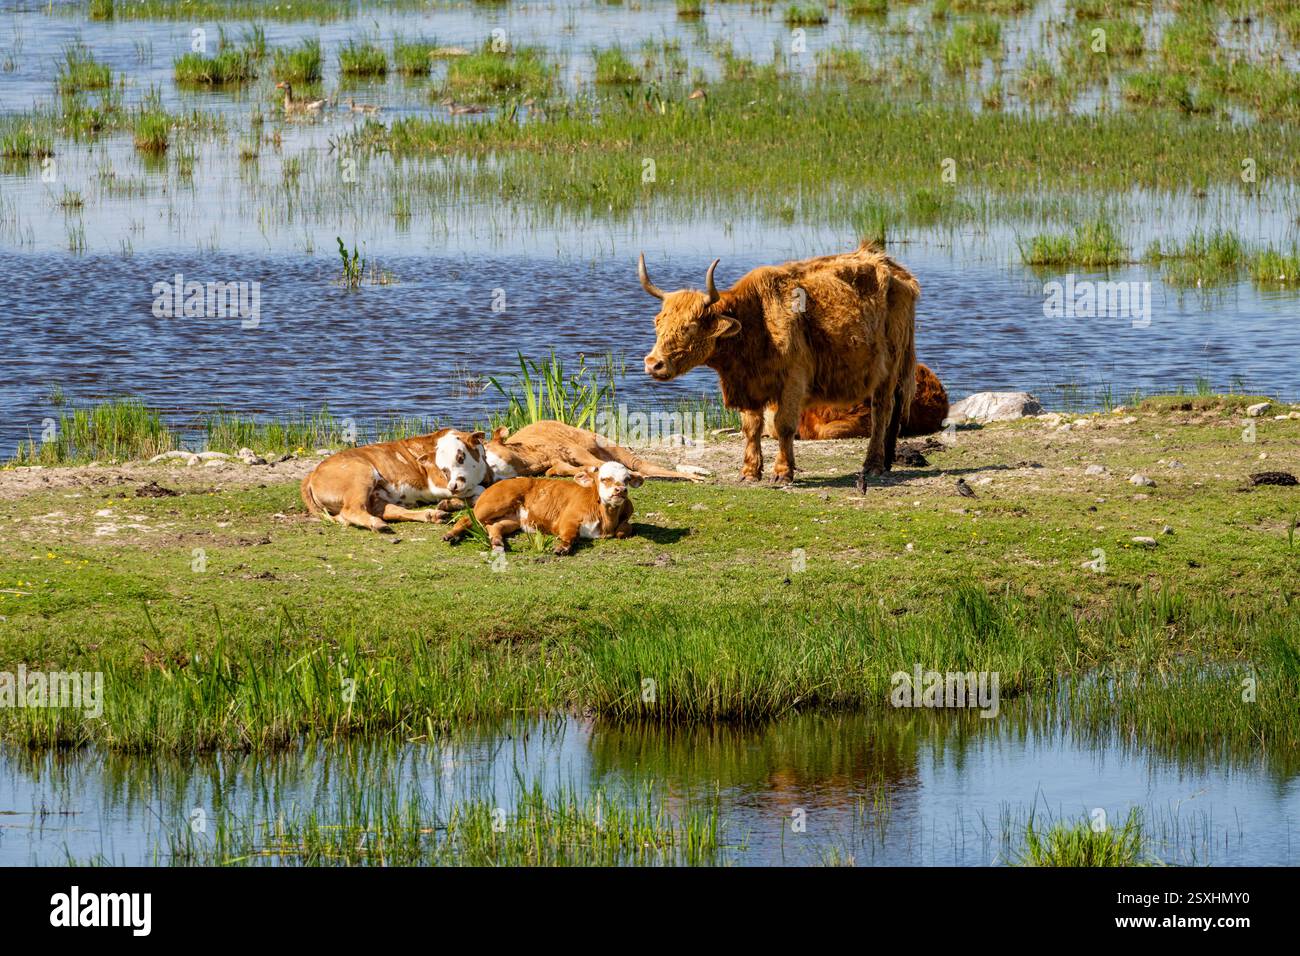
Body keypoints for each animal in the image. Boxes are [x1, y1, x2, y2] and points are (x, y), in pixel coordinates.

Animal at [301, 429, 491, 531]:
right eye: (443, 469)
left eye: (460, 457)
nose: (453, 486)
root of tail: (312, 473)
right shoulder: (436, 483)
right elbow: (480, 490)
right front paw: (454, 501)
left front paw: (450, 504)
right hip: (361, 475)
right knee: (351, 510)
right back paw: (377, 524)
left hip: (375, 495)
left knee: (388, 510)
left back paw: (433, 515)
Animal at [443, 461, 641, 555]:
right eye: (604, 478)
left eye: (626, 479)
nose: (621, 490)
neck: (606, 520)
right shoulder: (567, 518)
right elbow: (570, 535)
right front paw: (562, 548)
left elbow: (625, 529)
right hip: (491, 504)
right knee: (467, 518)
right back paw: (451, 535)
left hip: (512, 519)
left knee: (494, 526)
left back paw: (498, 543)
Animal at [483, 420, 708, 482]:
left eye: (483, 448)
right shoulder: (555, 461)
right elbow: (559, 470)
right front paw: (584, 472)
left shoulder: (573, 449)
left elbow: (600, 465)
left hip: (609, 445)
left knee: (642, 465)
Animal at [639, 242, 918, 490]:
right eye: (658, 323)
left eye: (690, 327)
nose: (653, 364)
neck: (755, 322)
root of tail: (894, 268)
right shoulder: (748, 387)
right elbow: (751, 427)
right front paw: (749, 472)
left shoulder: (793, 381)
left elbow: (784, 425)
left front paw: (783, 472)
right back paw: (888, 460)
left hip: (889, 367)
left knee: (882, 410)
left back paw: (873, 464)